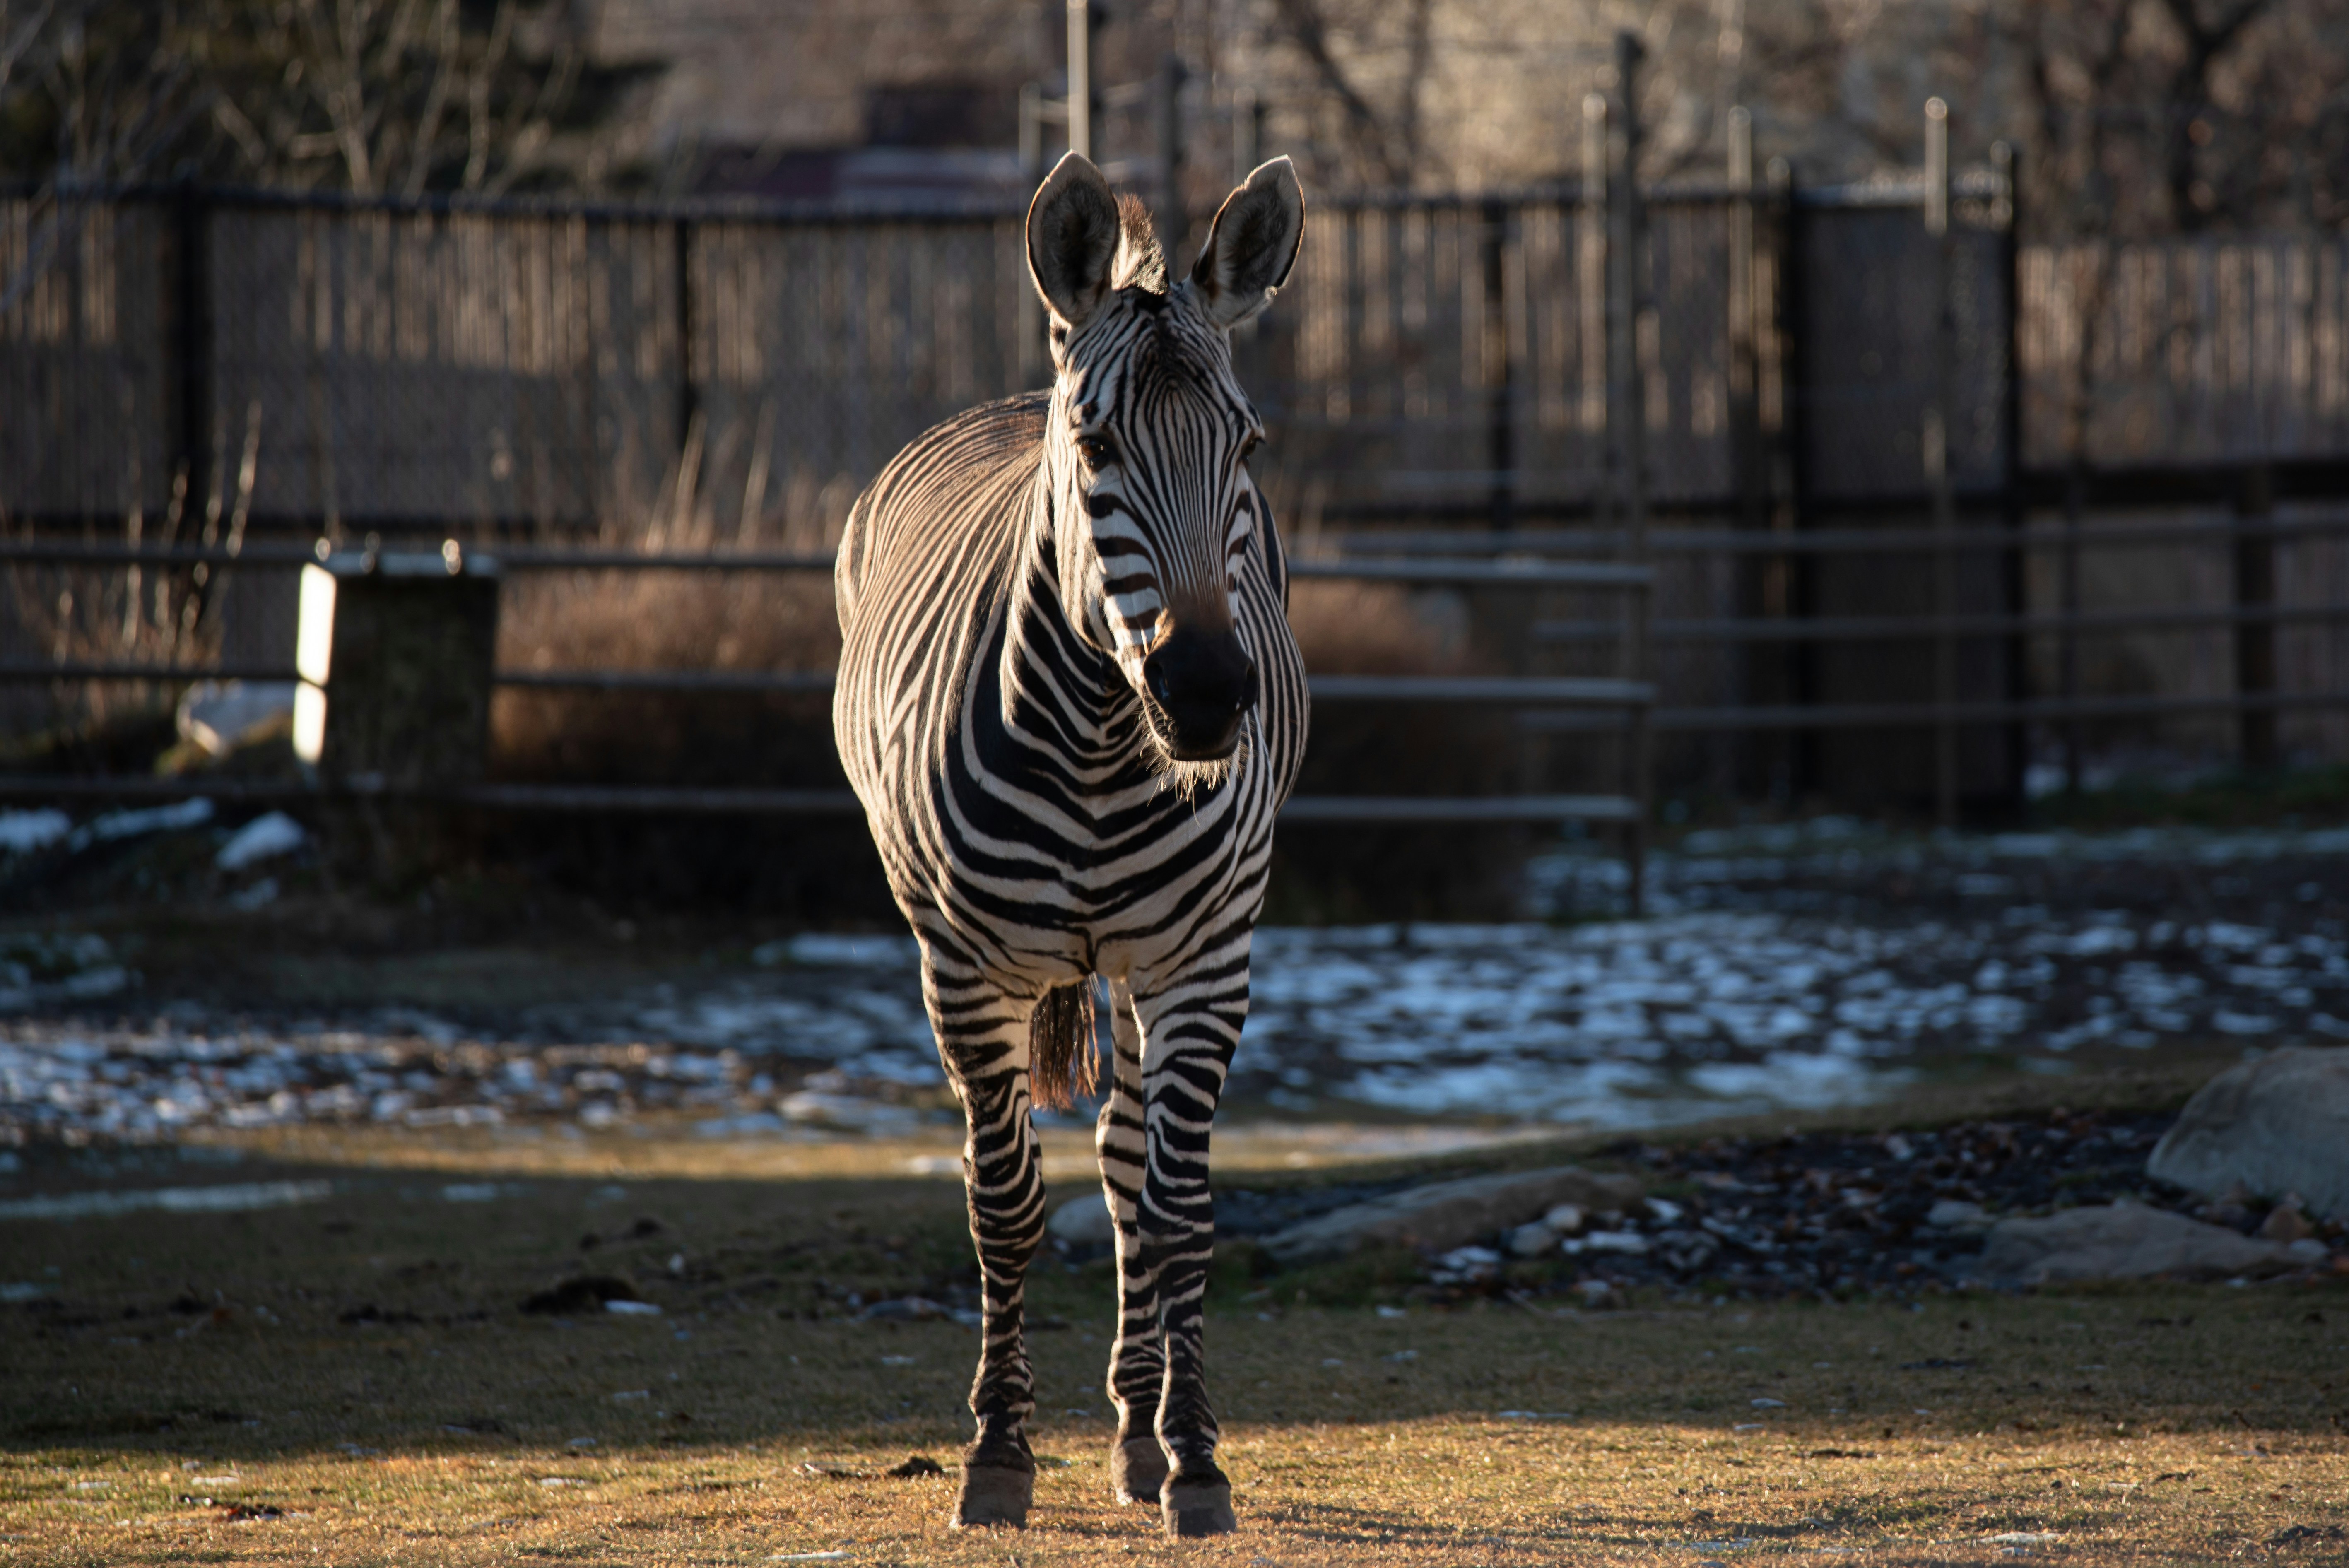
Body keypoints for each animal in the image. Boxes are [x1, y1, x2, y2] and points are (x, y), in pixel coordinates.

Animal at [831, 151, 1307, 1537]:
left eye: (1248, 446)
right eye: (1094, 446)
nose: (1205, 697)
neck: (1103, 739)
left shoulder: (1206, 961)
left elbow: (1177, 1211)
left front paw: (1194, 1457)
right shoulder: (961, 967)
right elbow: (1002, 1210)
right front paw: (996, 1453)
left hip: (1145, 960)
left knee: (1126, 1168)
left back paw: (1140, 1432)